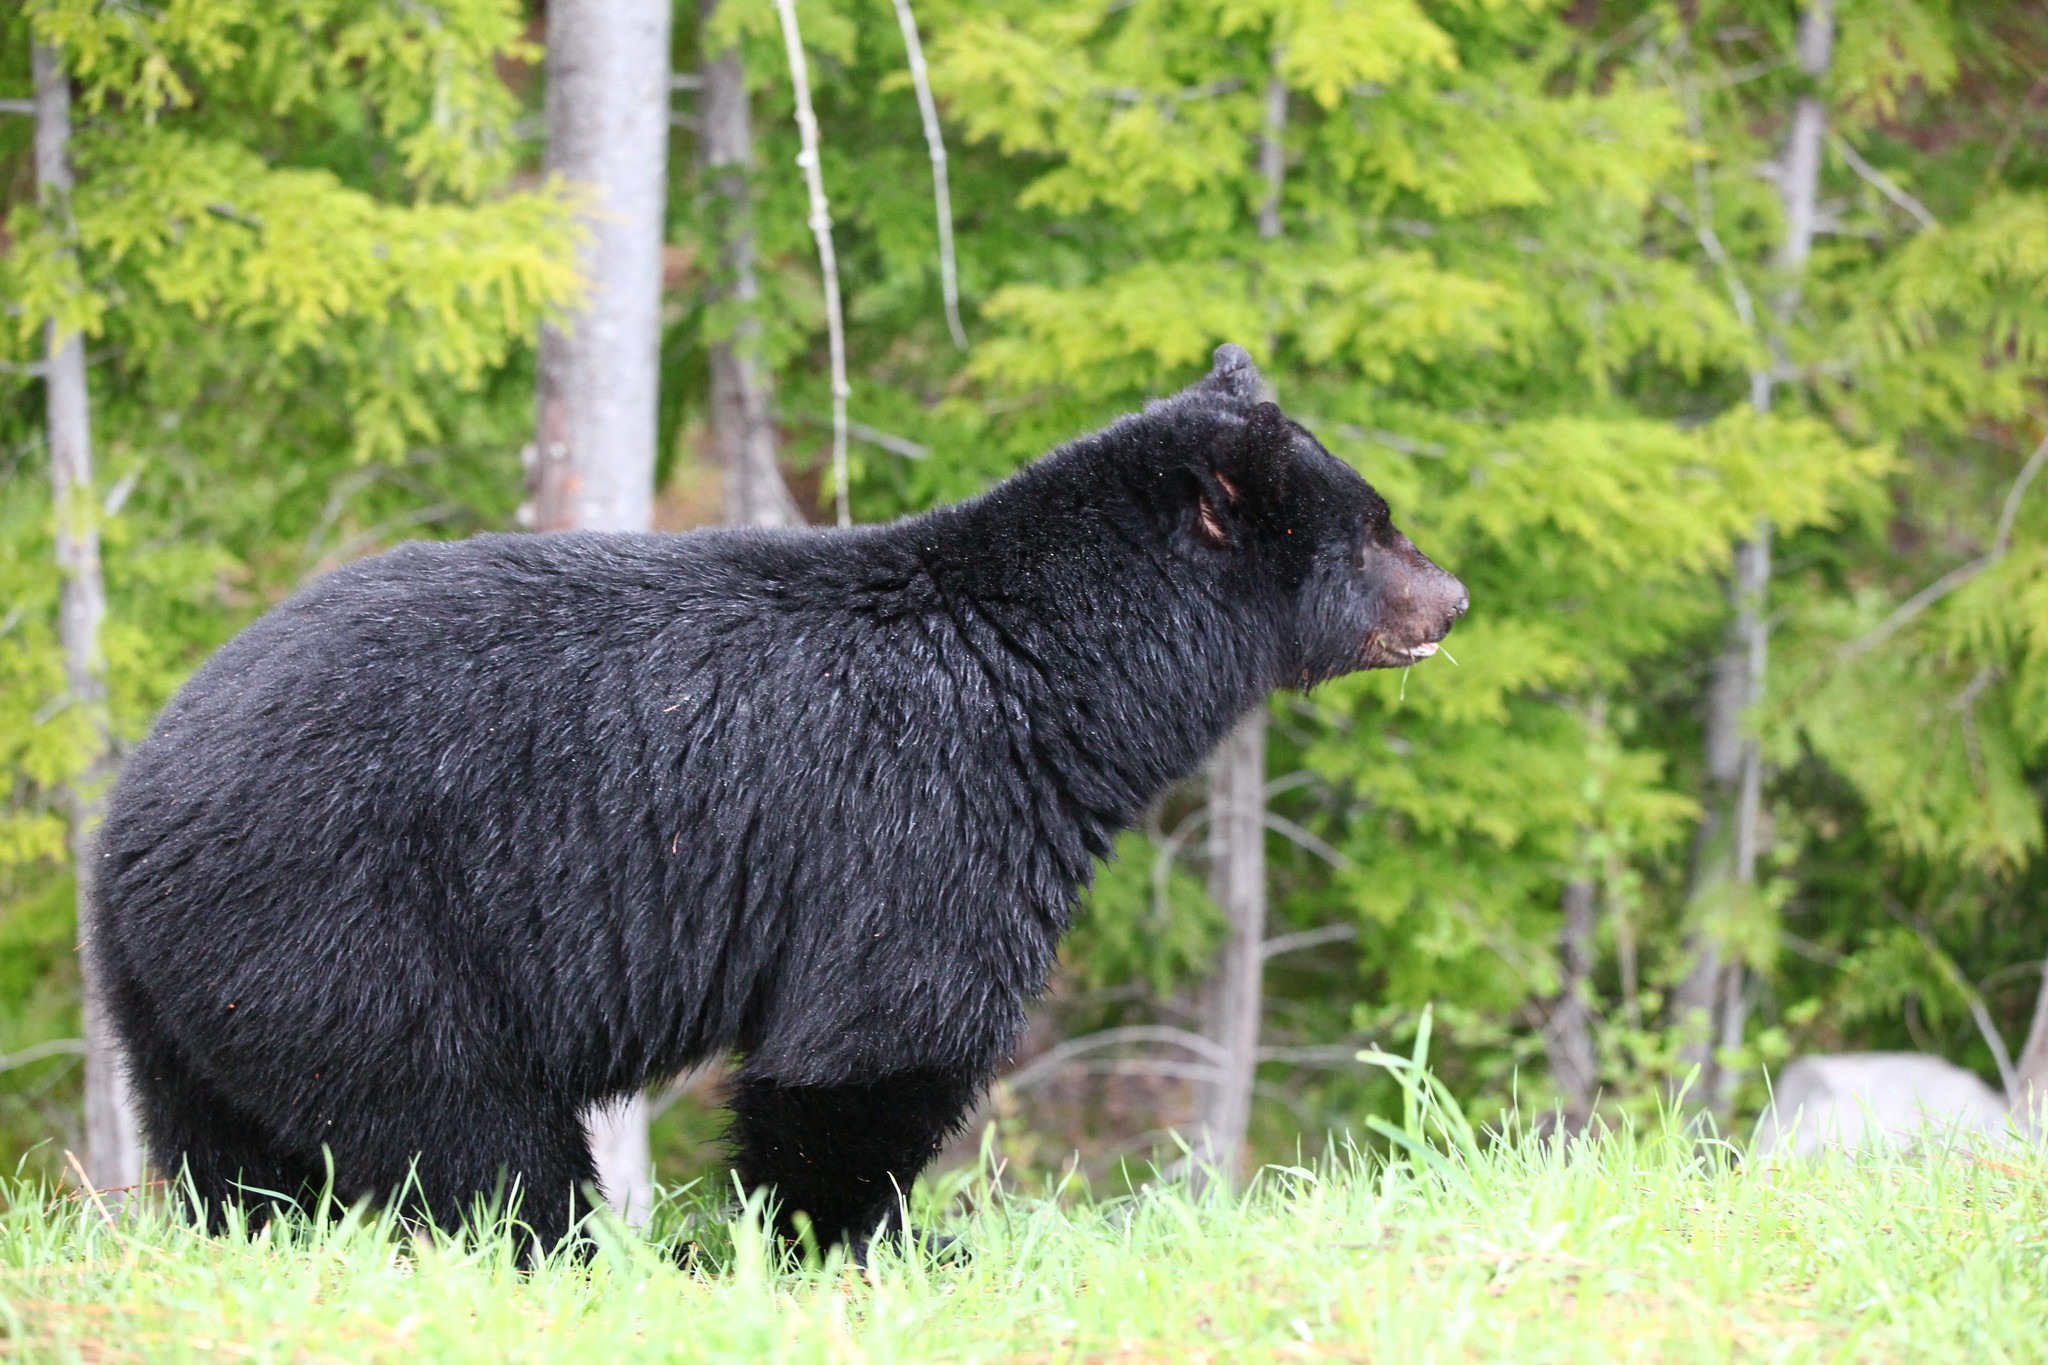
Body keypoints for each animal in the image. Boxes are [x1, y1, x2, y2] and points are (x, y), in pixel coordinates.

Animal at [93, 344, 1465, 1254]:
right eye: (1374, 526)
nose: (1450, 600)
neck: (1048, 684)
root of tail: (132, 811)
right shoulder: (928, 811)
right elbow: (870, 1044)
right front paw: (867, 1241)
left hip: (195, 995)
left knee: (230, 1153)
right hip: (352, 934)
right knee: (468, 1134)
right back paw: (583, 1252)